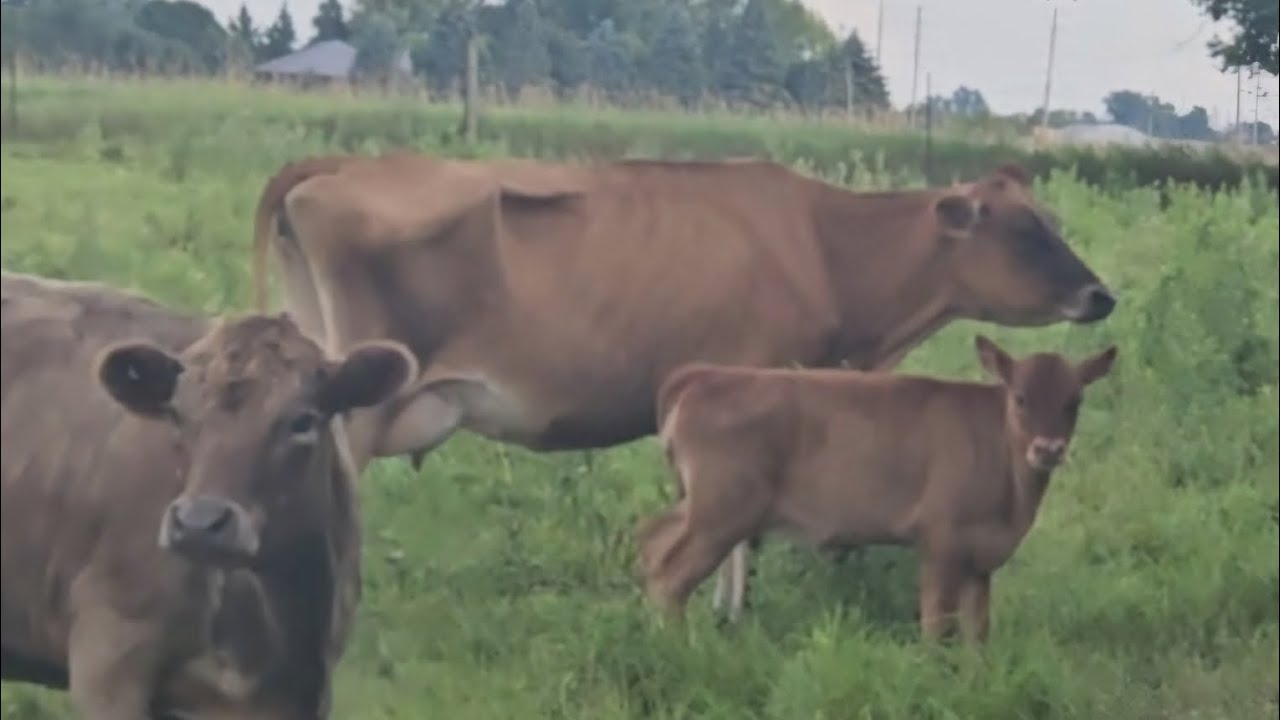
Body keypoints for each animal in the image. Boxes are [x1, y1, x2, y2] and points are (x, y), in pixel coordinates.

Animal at [636, 335, 1118, 640]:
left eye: (1074, 401)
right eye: (1020, 397)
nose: (1049, 449)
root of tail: (705, 376)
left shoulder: (981, 560)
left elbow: (978, 633)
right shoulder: (939, 544)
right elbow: (937, 627)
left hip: (701, 507)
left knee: (652, 542)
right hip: (720, 515)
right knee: (670, 578)